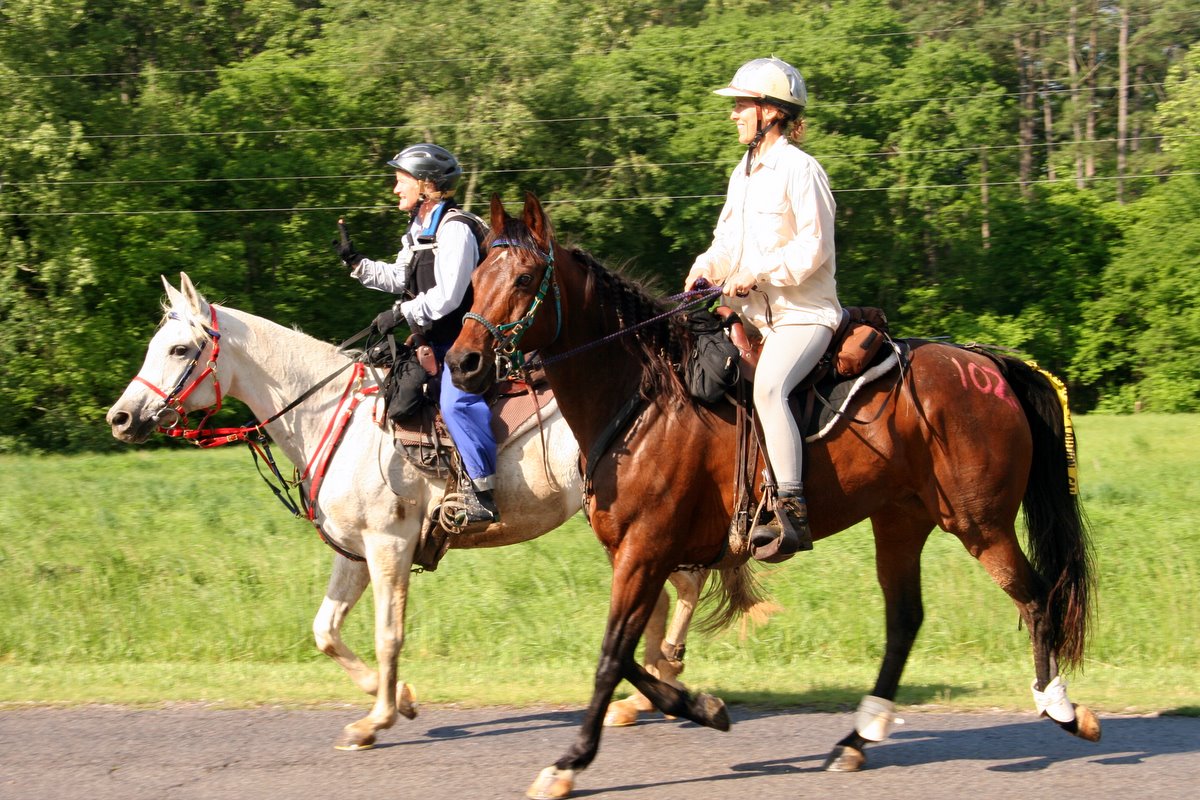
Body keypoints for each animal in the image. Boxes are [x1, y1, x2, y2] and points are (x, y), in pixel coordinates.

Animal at [105, 272, 725, 750]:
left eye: (179, 349)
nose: (120, 417)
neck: (340, 418)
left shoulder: (389, 546)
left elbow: (389, 634)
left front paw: (375, 719)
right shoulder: (355, 551)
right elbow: (326, 630)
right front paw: (398, 699)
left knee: (685, 586)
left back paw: (668, 673)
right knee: (667, 595)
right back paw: (649, 691)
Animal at [446, 193, 1101, 799]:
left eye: (524, 279)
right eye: (474, 280)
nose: (463, 361)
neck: (646, 399)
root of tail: (987, 364)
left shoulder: (646, 551)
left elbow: (613, 656)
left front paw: (570, 762)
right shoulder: (636, 555)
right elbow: (630, 654)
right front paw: (703, 707)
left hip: (979, 523)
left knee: (1037, 599)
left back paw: (1064, 709)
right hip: (901, 520)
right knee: (905, 621)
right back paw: (858, 738)